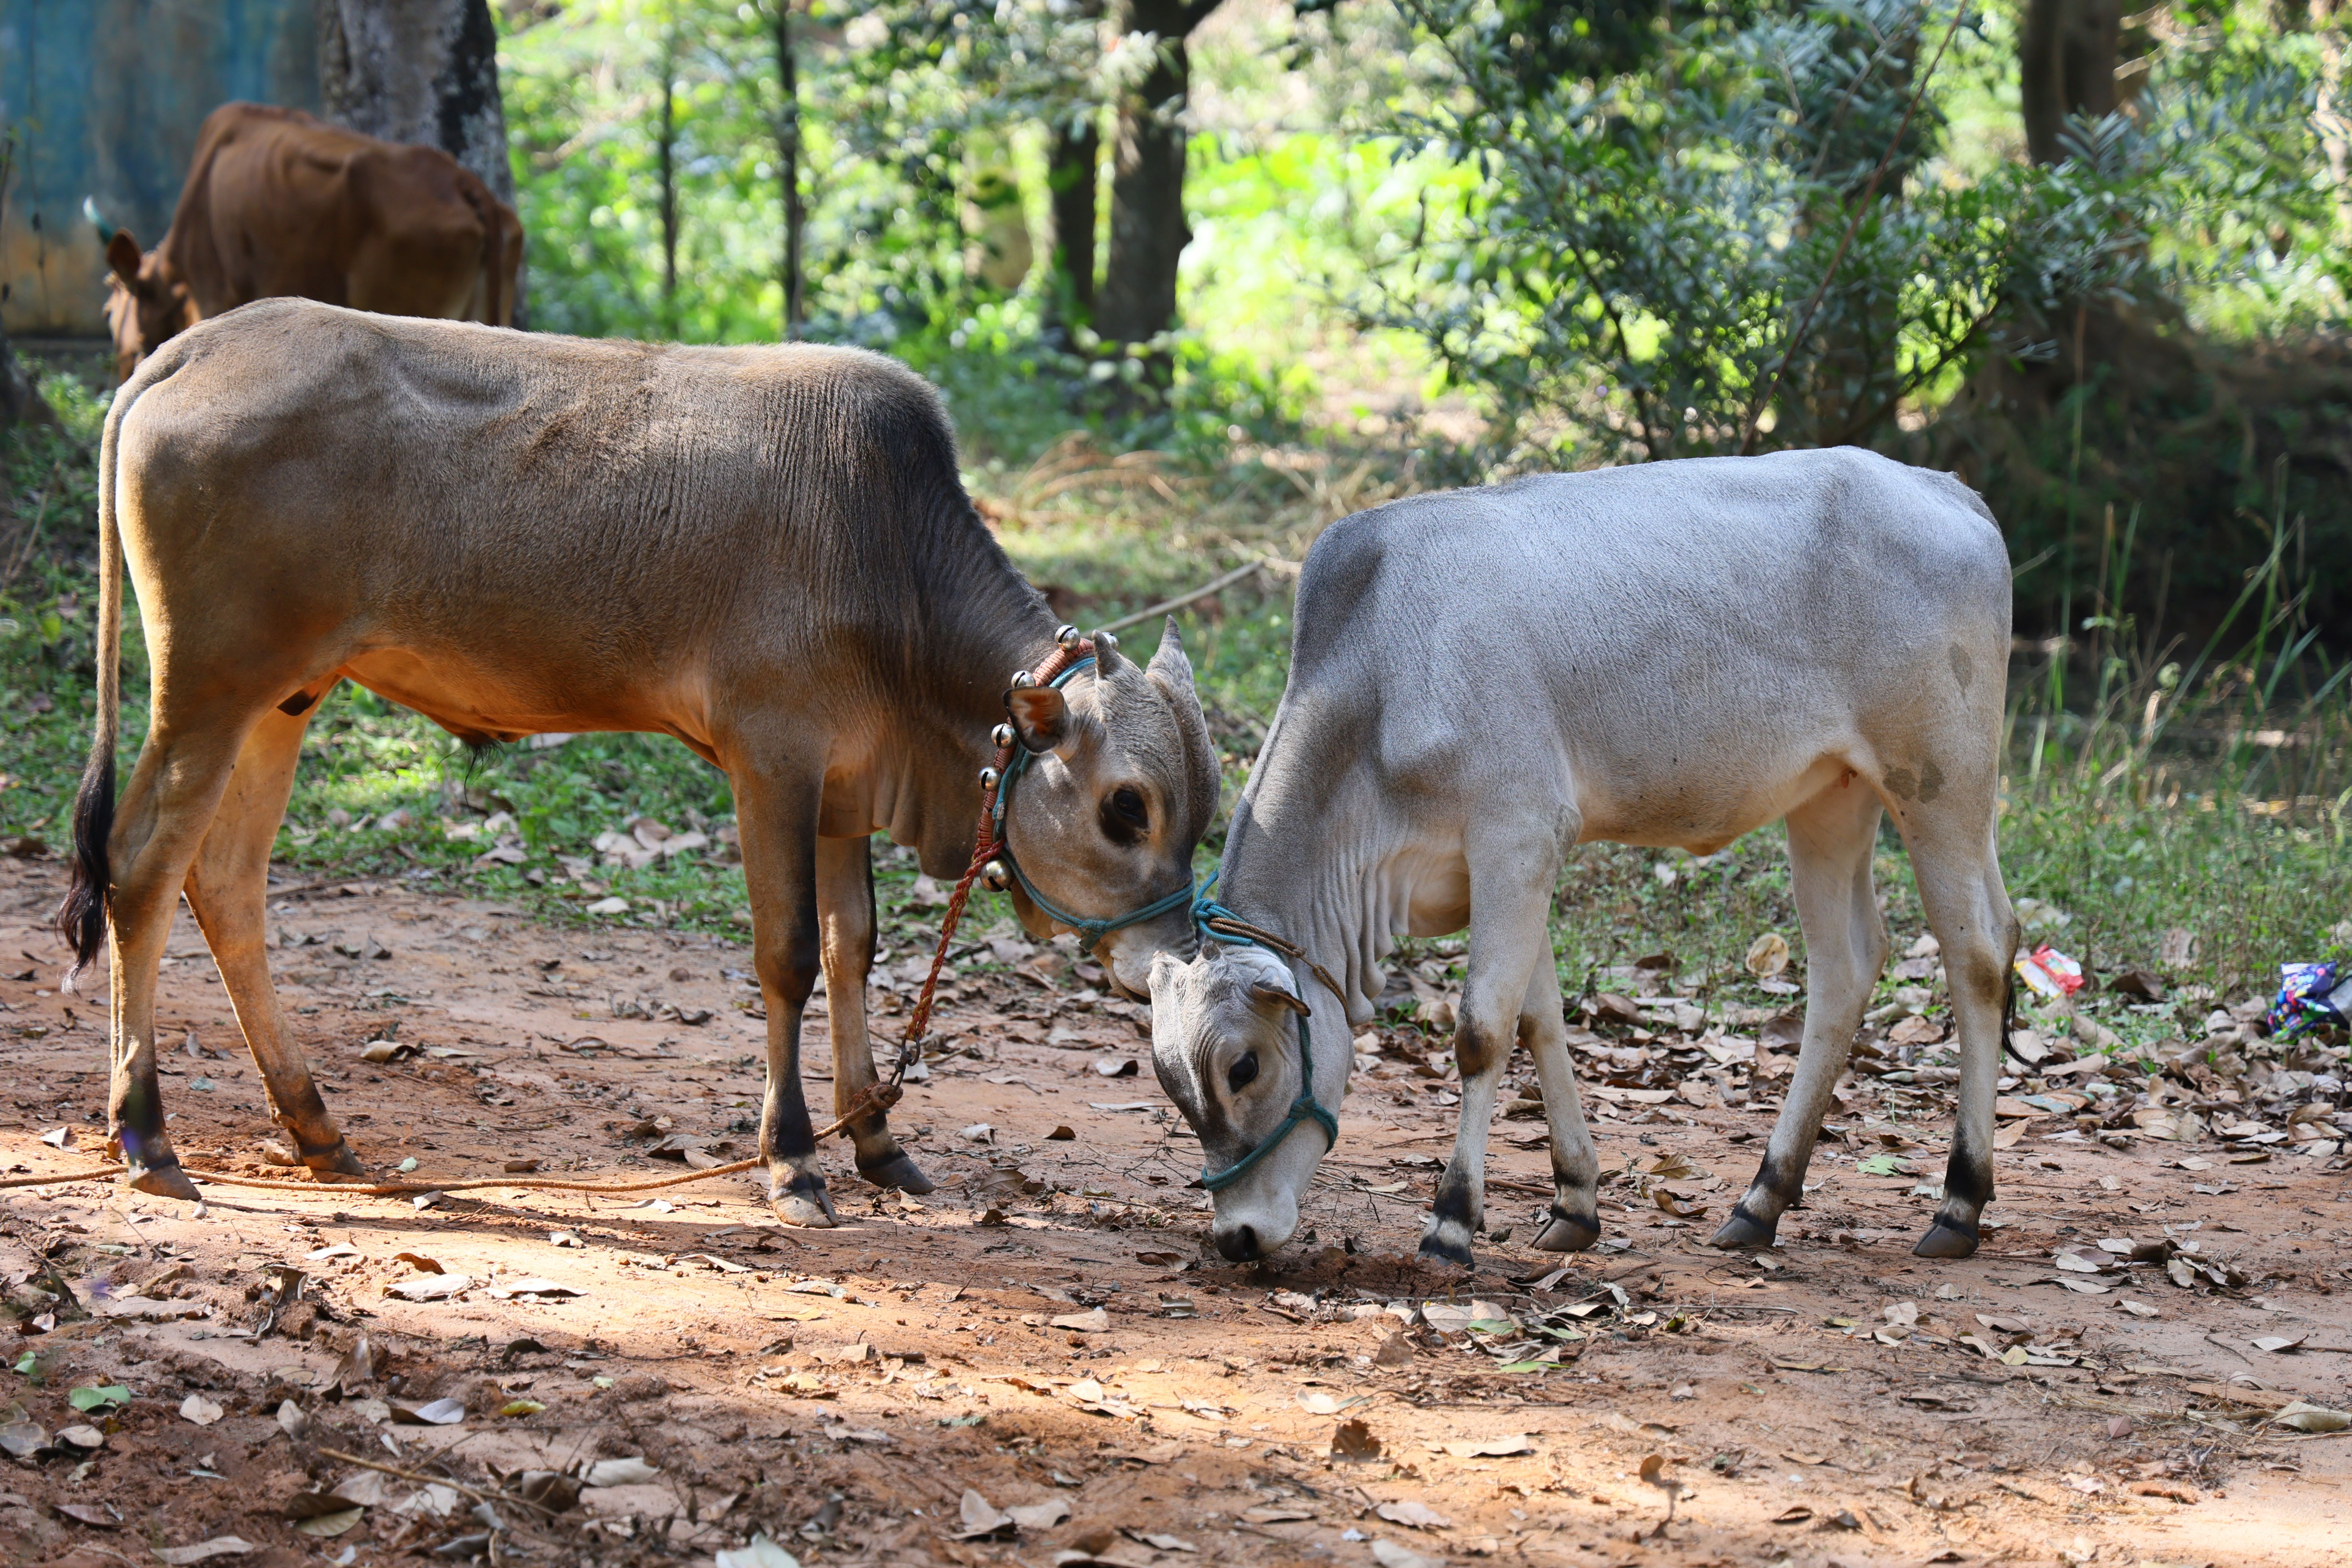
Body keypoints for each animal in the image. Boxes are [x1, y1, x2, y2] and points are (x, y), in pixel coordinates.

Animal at [58, 297, 1217, 1225]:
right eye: (1126, 808)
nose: (1168, 958)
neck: (892, 560)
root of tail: (194, 347)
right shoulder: (773, 760)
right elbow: (788, 957)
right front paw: (794, 1163)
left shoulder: (844, 788)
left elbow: (852, 948)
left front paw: (879, 1140)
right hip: (208, 687)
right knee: (143, 868)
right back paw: (148, 1137)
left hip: (284, 699)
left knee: (227, 883)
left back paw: (314, 1127)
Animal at [1146, 448, 2019, 1267]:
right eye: (1174, 1084)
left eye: (1245, 1067)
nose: (1239, 1235)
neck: (1381, 686)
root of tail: (1947, 490)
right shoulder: (1510, 870)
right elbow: (1538, 1019)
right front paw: (1574, 1201)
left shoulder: (1517, 838)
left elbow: (1481, 1031)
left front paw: (1451, 1221)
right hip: (1832, 799)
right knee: (1847, 966)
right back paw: (1762, 1200)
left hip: (1941, 784)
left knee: (1977, 954)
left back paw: (1959, 1203)